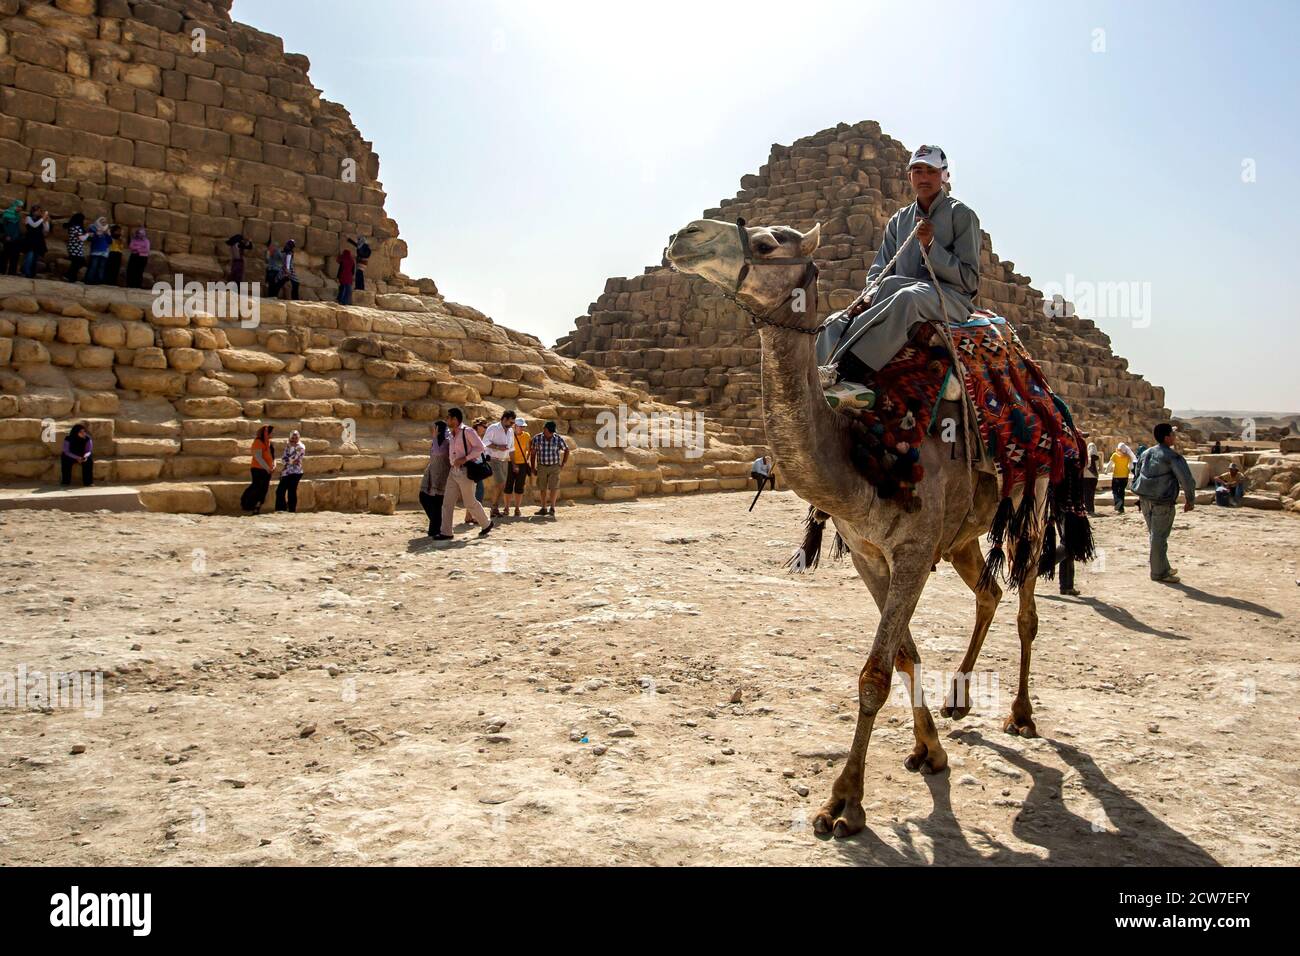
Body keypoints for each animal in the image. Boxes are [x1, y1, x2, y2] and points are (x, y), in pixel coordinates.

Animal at [665, 218, 1053, 838]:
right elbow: (904, 656)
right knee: (989, 592)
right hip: (964, 532)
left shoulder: (914, 551)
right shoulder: (870, 551)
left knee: (1026, 608)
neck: (866, 447)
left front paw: (843, 801)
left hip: (1034, 496)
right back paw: (961, 698)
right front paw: (929, 751)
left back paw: (1019, 712)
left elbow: (874, 675)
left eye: (768, 244)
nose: (685, 235)